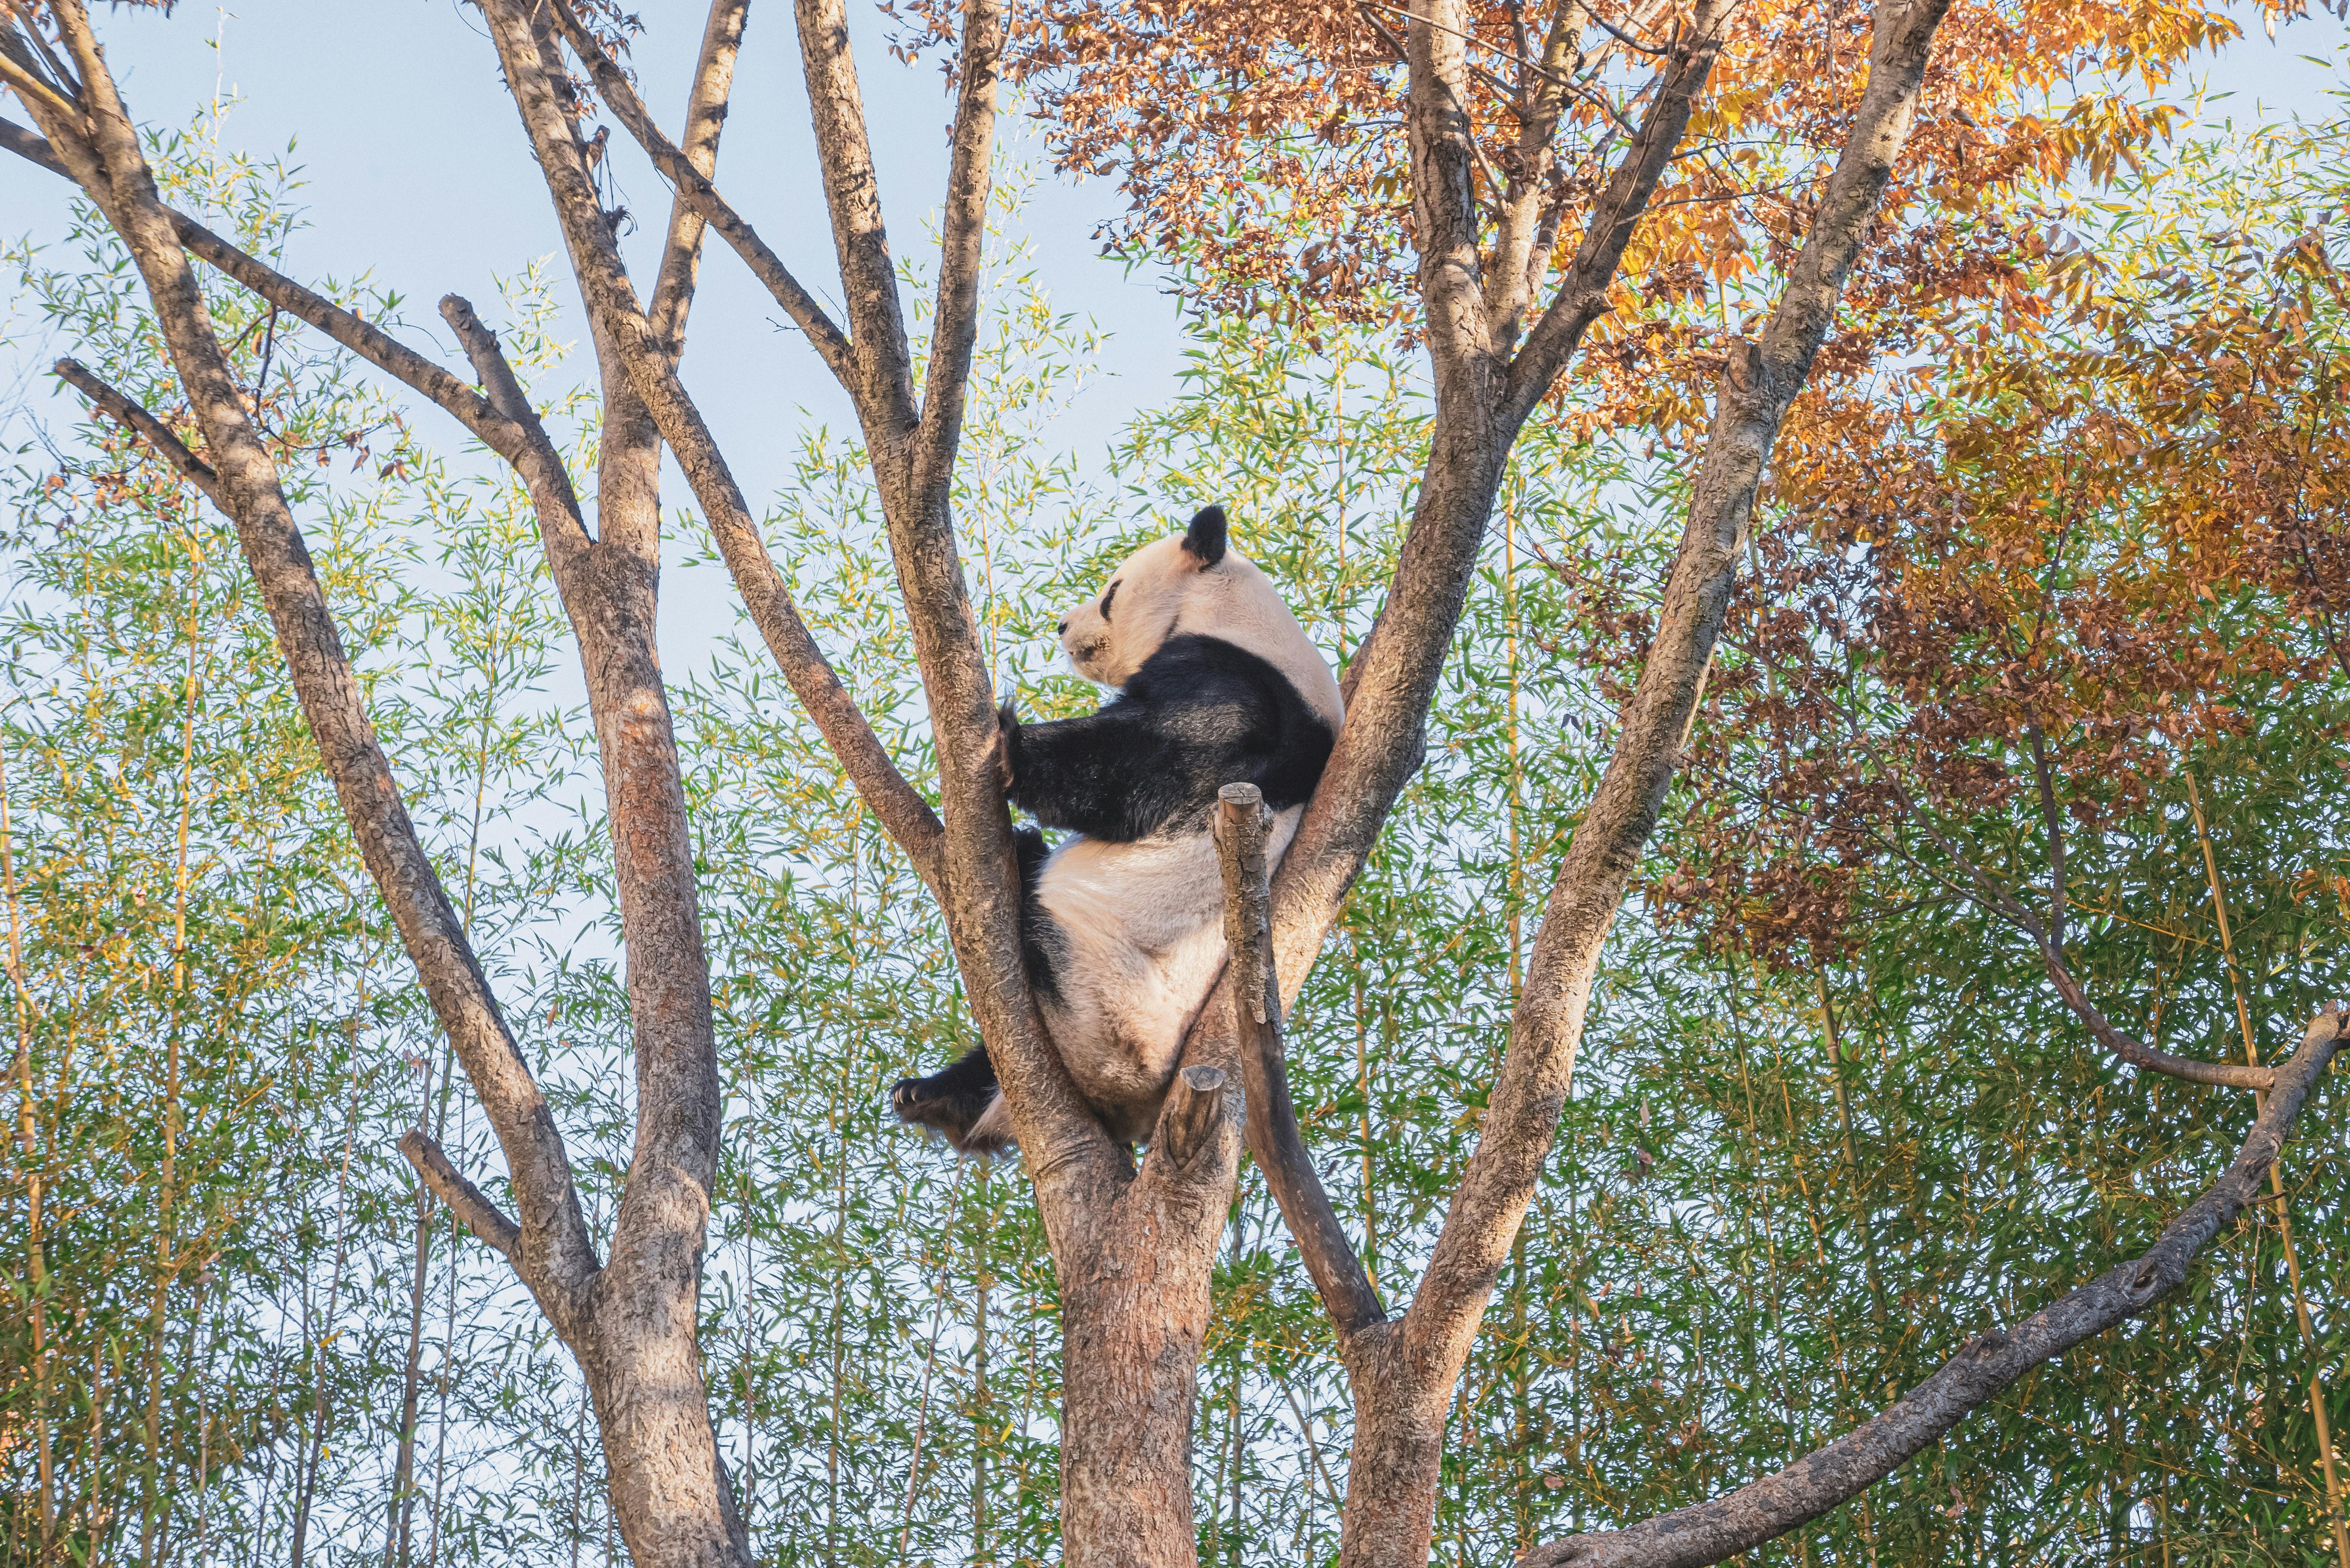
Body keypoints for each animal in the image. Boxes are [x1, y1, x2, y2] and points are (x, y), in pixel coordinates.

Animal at [891, 505, 1344, 1152]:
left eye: (1110, 593)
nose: (1062, 625)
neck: (1229, 609)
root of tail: (1139, 1105)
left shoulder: (1234, 681)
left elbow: (1146, 761)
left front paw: (1010, 740)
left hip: (1103, 996)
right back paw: (933, 1097)